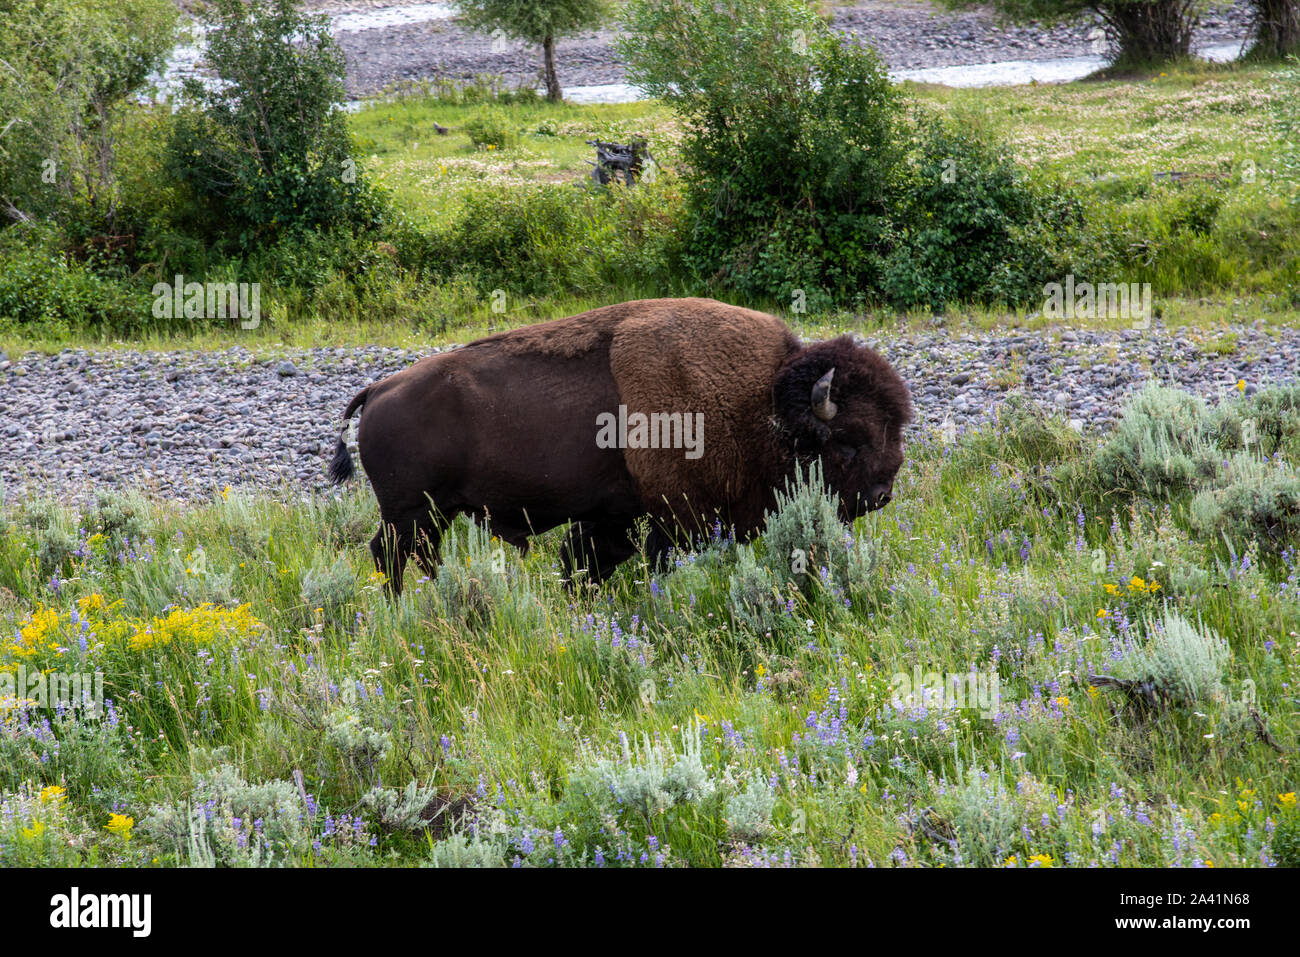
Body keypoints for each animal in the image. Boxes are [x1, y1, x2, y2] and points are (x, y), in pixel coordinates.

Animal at [329, 298, 912, 594]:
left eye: (897, 428)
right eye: (847, 442)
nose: (882, 494)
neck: (762, 402)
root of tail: (378, 390)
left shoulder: (614, 517)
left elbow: (586, 562)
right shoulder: (672, 520)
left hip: (434, 513)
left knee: (416, 557)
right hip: (410, 514)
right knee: (392, 556)